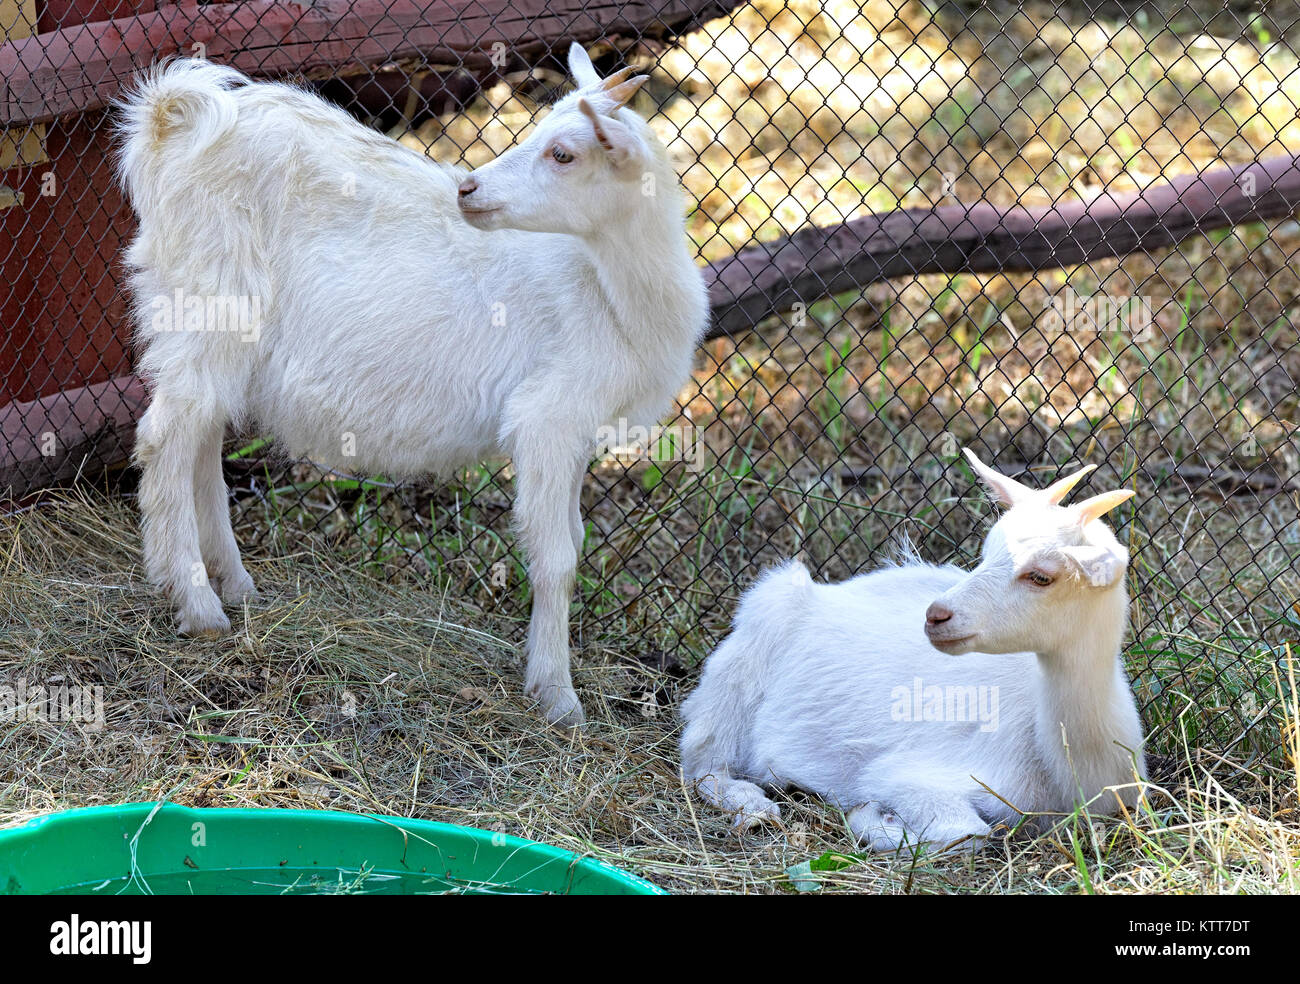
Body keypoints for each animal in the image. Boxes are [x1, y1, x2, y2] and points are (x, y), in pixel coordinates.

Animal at [115, 45, 708, 727]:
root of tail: (170, 119)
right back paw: (198, 605)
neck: (607, 288)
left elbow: (575, 540)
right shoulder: (548, 417)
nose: (469, 189)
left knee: (202, 437)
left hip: (211, 328)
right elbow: (557, 557)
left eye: (564, 153)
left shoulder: (578, 431)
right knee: (165, 437)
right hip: (210, 302)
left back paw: (235, 585)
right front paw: (557, 695)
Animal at [679, 449, 1146, 852]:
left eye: (1042, 576)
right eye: (986, 551)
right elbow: (965, 832)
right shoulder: (909, 773)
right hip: (746, 657)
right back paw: (754, 806)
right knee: (701, 761)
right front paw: (871, 815)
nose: (937, 615)